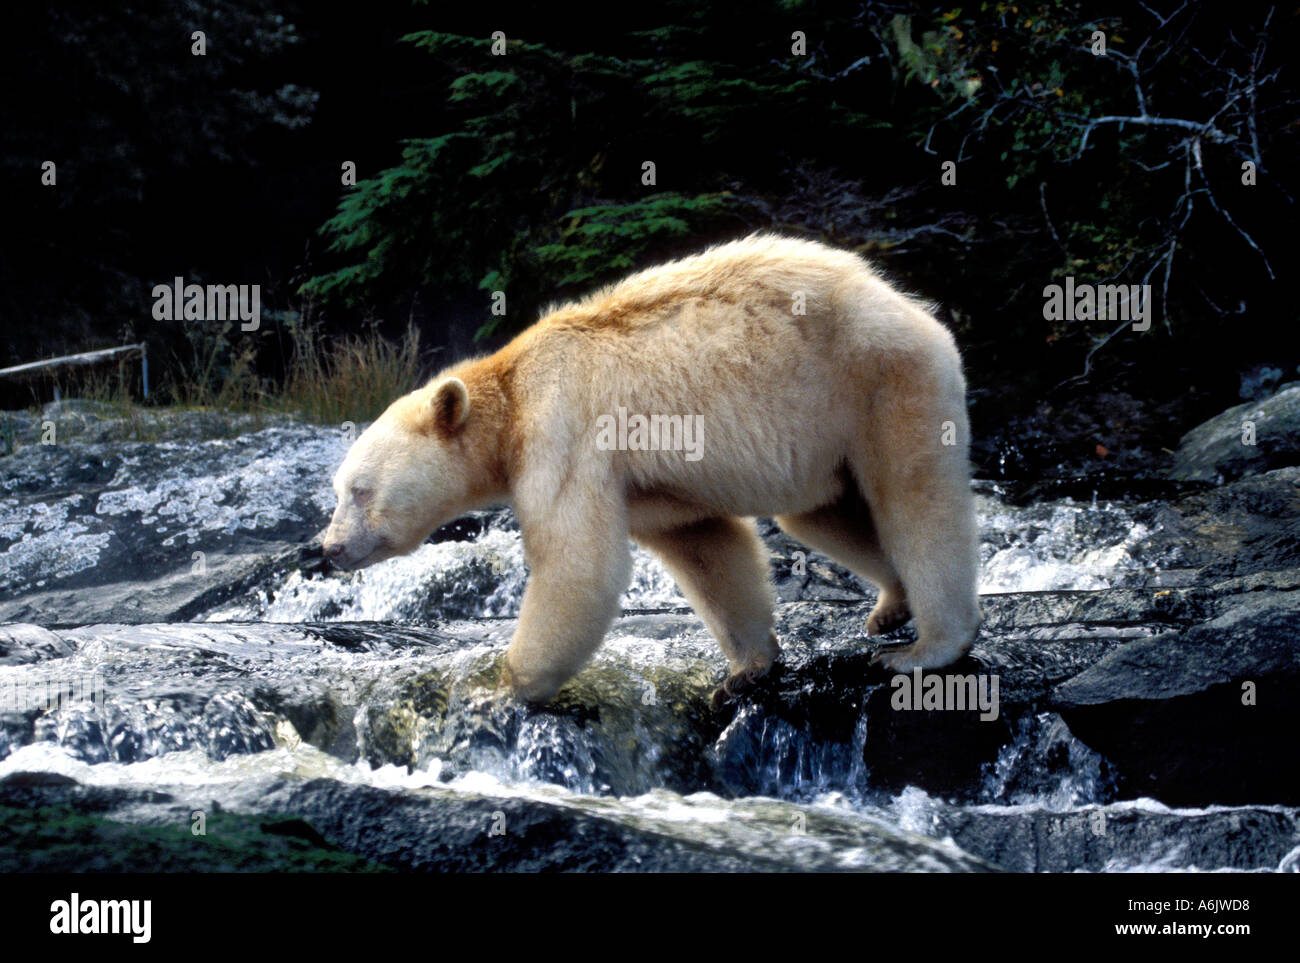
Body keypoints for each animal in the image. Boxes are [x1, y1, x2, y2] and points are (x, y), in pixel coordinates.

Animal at [322, 234, 982, 704]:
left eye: (360, 490)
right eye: (337, 491)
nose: (327, 548)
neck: (509, 398)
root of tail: (910, 307)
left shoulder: (562, 436)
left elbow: (578, 564)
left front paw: (504, 686)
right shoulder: (647, 486)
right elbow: (705, 547)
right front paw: (748, 667)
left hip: (878, 383)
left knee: (914, 500)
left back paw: (928, 646)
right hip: (829, 434)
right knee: (821, 514)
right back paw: (891, 601)